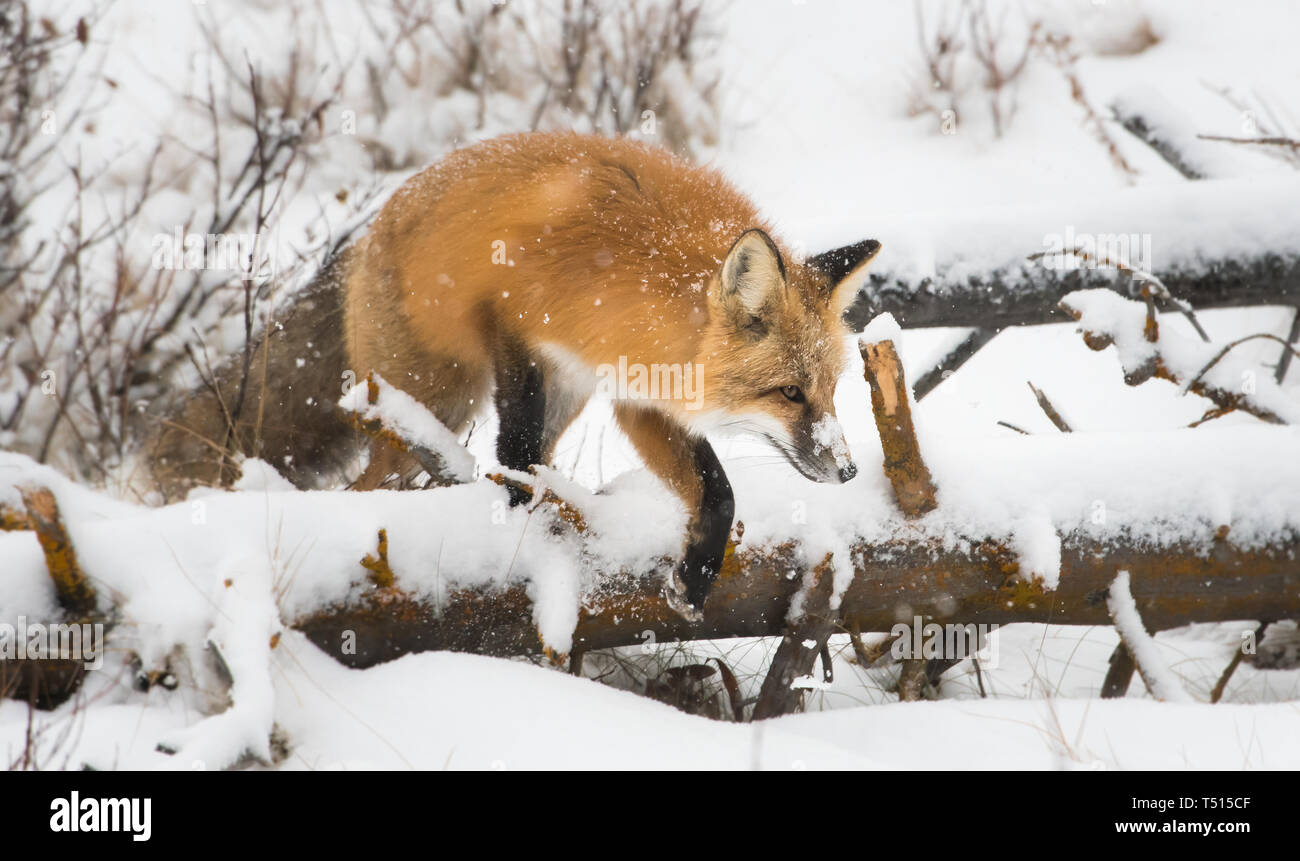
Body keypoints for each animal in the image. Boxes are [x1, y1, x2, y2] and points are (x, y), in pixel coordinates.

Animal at [150, 132, 881, 614]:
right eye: (789, 392)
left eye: (831, 389)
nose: (848, 471)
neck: (635, 270)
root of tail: (364, 241)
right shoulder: (511, 323)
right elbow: (516, 449)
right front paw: (516, 523)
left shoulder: (634, 390)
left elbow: (718, 491)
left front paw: (694, 578)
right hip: (432, 406)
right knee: (370, 485)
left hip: (554, 400)